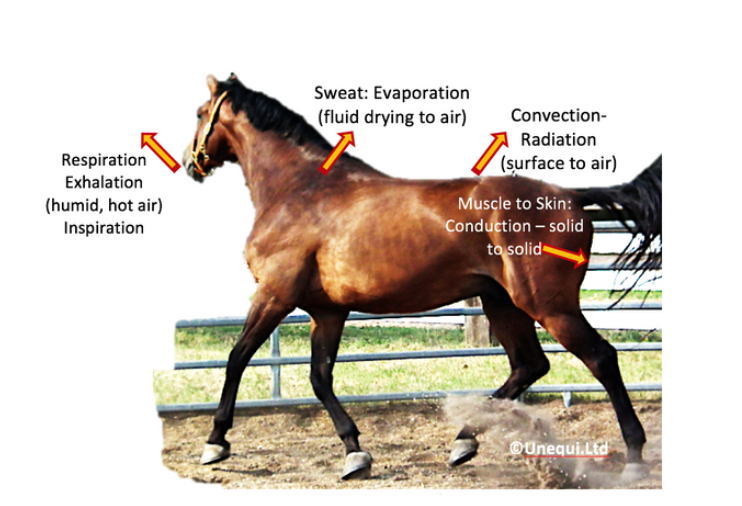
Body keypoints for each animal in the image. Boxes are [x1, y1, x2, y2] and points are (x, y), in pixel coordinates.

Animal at [183, 73, 661, 482]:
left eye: (200, 112)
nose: (191, 163)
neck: (298, 190)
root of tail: (572, 195)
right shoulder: (327, 311)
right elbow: (320, 377)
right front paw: (355, 453)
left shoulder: (274, 295)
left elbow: (237, 357)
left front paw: (216, 443)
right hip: (502, 302)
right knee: (530, 364)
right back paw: (463, 442)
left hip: (548, 305)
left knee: (600, 358)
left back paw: (633, 459)